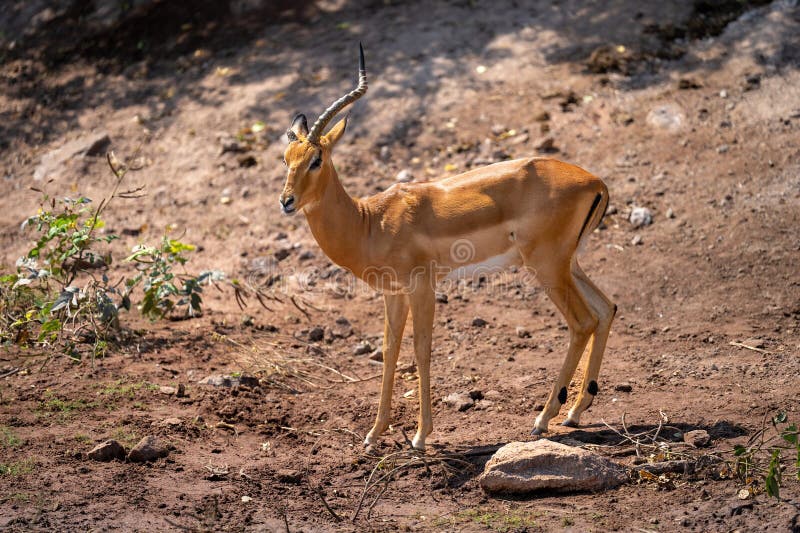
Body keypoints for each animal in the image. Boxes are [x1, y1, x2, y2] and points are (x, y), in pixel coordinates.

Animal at [279, 44, 615, 451]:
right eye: (286, 158)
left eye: (316, 159)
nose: (286, 201)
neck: (370, 222)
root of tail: (595, 181)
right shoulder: (393, 293)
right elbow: (389, 351)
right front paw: (374, 434)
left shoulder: (422, 286)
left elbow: (421, 349)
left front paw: (420, 436)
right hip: (569, 264)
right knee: (606, 309)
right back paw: (575, 412)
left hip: (547, 267)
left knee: (582, 322)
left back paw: (542, 419)